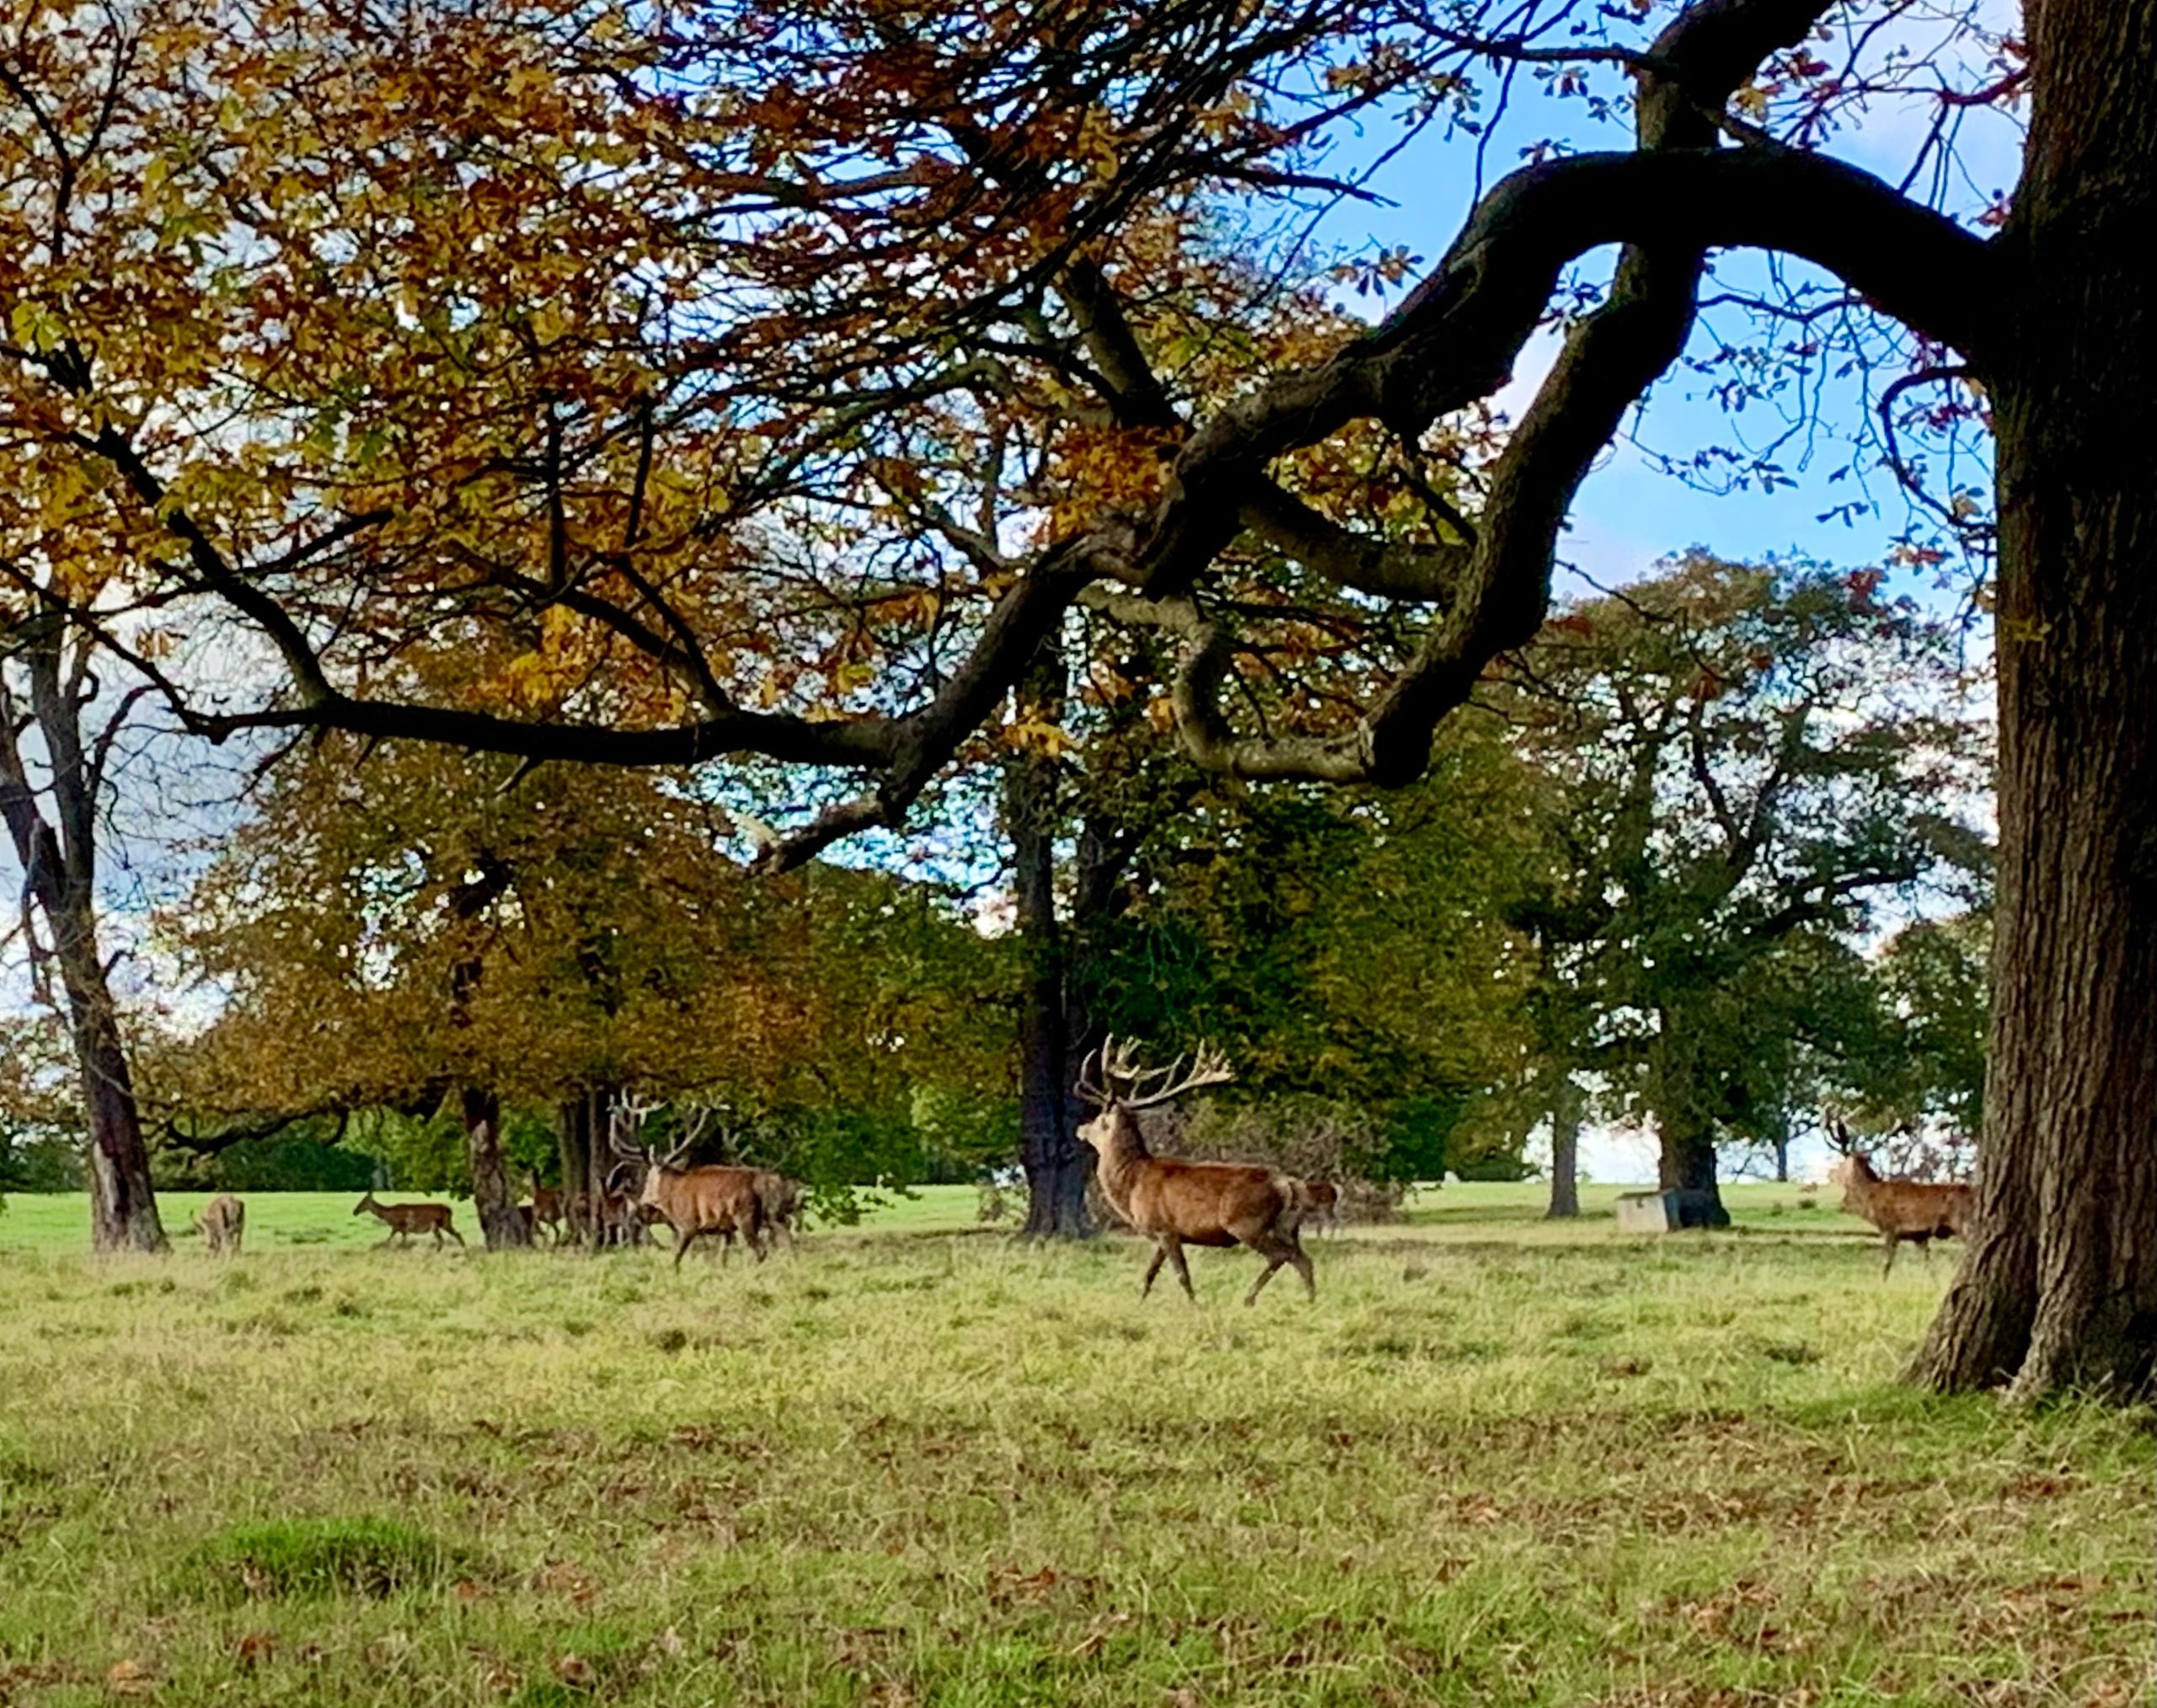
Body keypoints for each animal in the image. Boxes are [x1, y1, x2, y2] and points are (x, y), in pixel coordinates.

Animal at [352, 1191, 465, 1249]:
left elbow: (390, 1240)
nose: (354, 1211)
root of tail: (449, 1210)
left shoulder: (398, 1226)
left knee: (452, 1236)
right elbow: (401, 1241)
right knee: (449, 1237)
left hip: (443, 1223)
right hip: (441, 1225)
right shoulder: (403, 1230)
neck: (389, 1217)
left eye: (363, 1202)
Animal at [606, 1098, 767, 1269]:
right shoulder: (724, 1229)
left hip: (744, 1218)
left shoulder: (687, 1225)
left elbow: (676, 1257)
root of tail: (758, 1191)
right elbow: (721, 1259)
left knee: (761, 1250)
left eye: (648, 1179)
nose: (643, 1200)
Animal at [1075, 1036, 1317, 1307]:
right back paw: (1311, 1301)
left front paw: (1194, 1305)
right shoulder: (1163, 1235)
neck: (1132, 1183)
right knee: (1304, 1259)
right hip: (1290, 1228)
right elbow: (1149, 1273)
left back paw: (1248, 1298)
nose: (1080, 1128)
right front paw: (1140, 1302)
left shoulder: (1164, 1228)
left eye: (1099, 1119)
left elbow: (1181, 1274)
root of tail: (1287, 1184)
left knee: (1281, 1256)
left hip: (1247, 1222)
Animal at [1824, 1114, 1973, 1277]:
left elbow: (1886, 1265)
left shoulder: (1889, 1228)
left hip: (1964, 1224)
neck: (1869, 1198)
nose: (1830, 1174)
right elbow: (1929, 1266)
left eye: (1841, 1163)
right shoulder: (1918, 1236)